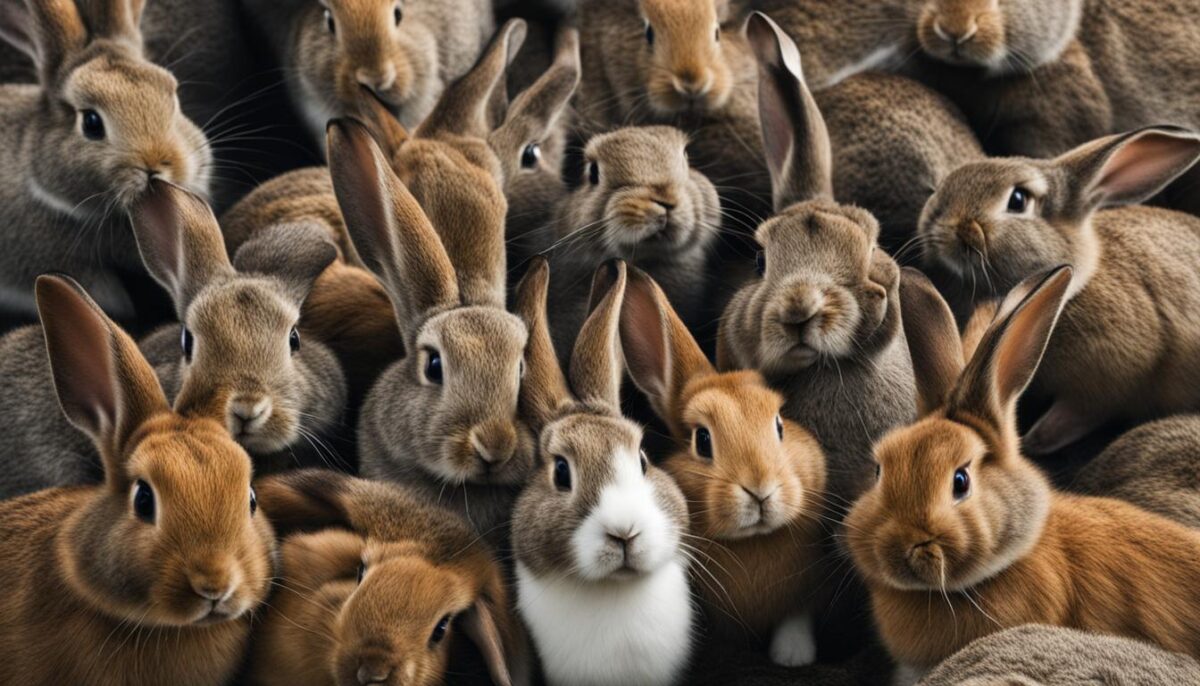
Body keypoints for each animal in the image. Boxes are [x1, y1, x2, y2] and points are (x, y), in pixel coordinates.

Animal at [618, 265, 829, 666]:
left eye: (779, 424)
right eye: (702, 439)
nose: (760, 489)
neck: (753, 542)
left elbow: (795, 617)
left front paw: (792, 656)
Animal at [917, 126, 1200, 455]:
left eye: (1018, 200)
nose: (940, 220)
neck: (1069, 286)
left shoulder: (1113, 375)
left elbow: (1085, 409)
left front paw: (1036, 439)